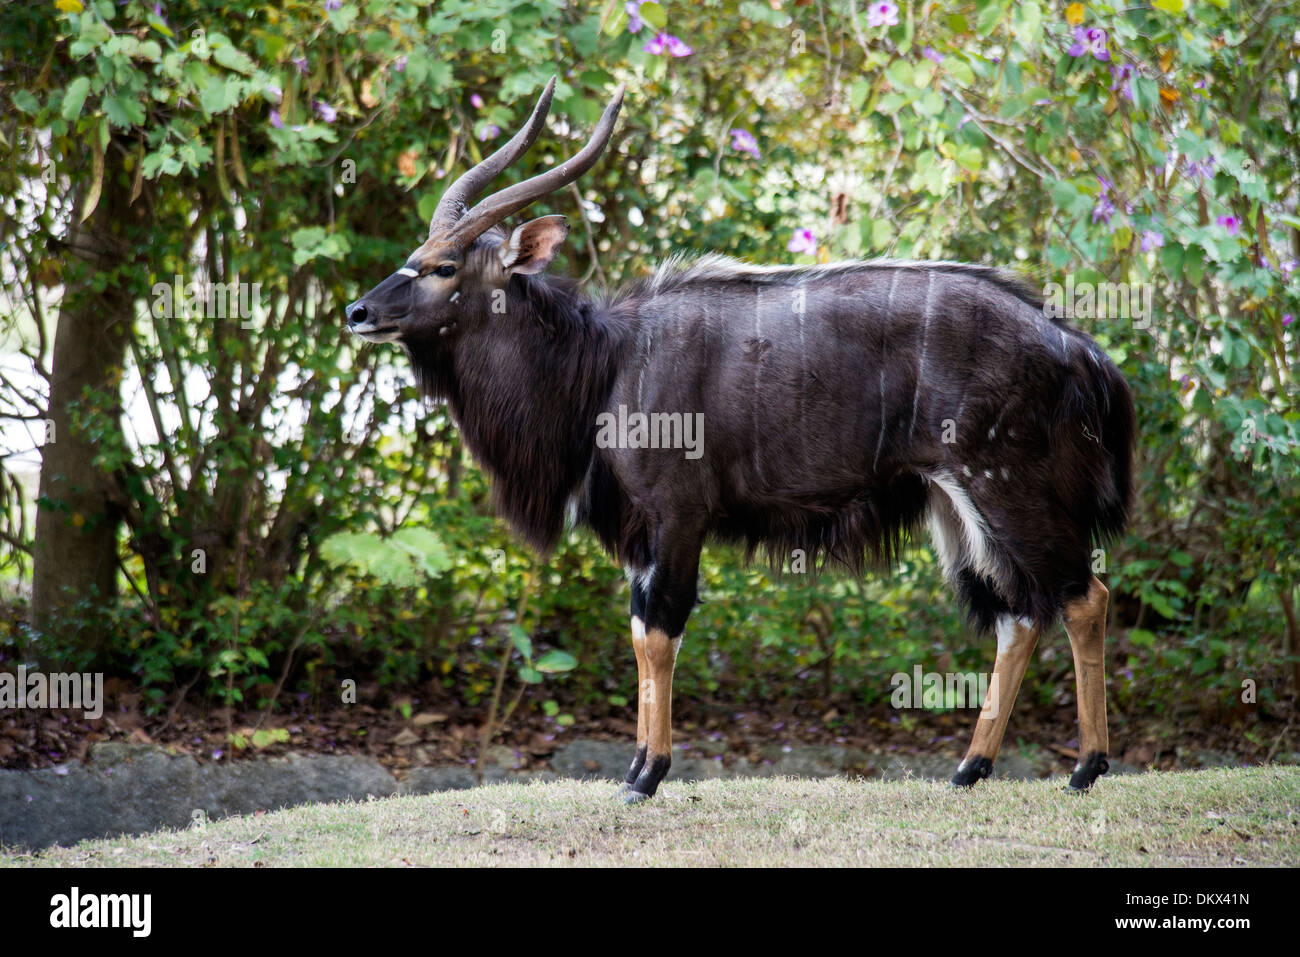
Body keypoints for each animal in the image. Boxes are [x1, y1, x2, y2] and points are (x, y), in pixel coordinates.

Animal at [345, 78, 1135, 801]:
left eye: (444, 266)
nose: (358, 311)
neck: (605, 364)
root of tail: (1078, 348)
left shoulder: (677, 515)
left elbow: (660, 630)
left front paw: (647, 776)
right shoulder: (639, 534)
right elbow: (639, 630)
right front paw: (636, 768)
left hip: (1007, 487)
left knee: (1083, 594)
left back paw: (1087, 767)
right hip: (953, 509)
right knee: (1018, 613)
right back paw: (970, 770)